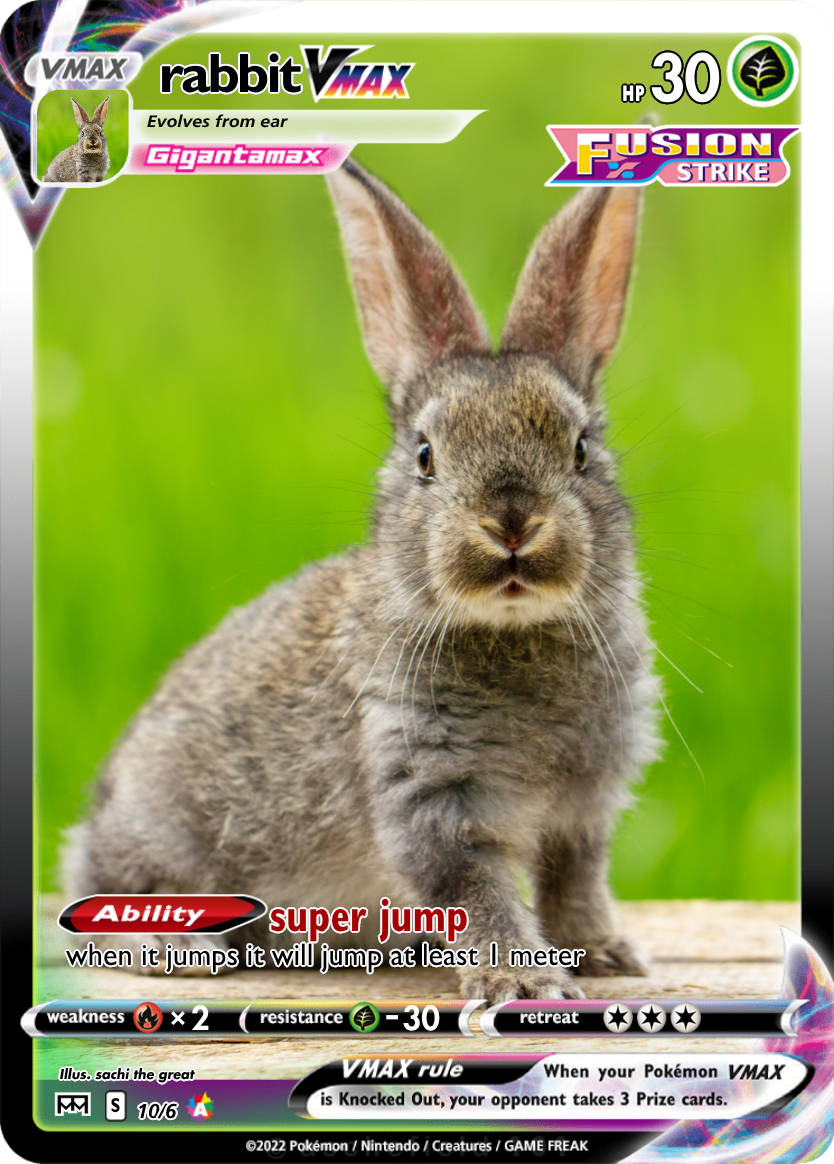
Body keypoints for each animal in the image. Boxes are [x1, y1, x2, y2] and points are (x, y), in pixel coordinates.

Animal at [63, 159, 662, 1002]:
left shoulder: (583, 810)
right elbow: (473, 890)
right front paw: (523, 984)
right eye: (425, 456)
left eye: (580, 450)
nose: (511, 523)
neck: (511, 633)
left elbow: (573, 881)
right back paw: (178, 945)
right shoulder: (428, 791)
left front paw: (602, 952)